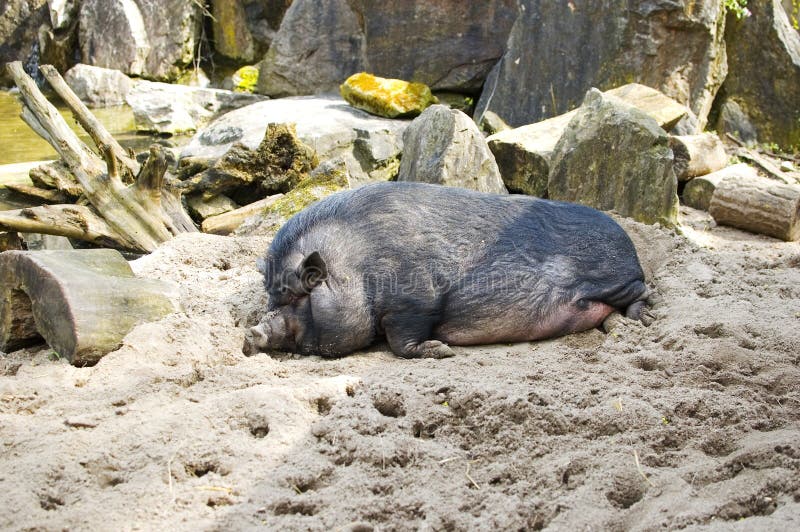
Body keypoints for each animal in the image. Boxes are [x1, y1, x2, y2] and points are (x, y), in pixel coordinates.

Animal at [243, 181, 649, 359]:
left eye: (301, 295)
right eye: (272, 297)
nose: (252, 332)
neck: (358, 268)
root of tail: (629, 244)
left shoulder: (415, 301)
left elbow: (402, 341)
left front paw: (441, 350)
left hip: (615, 279)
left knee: (642, 290)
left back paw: (642, 321)